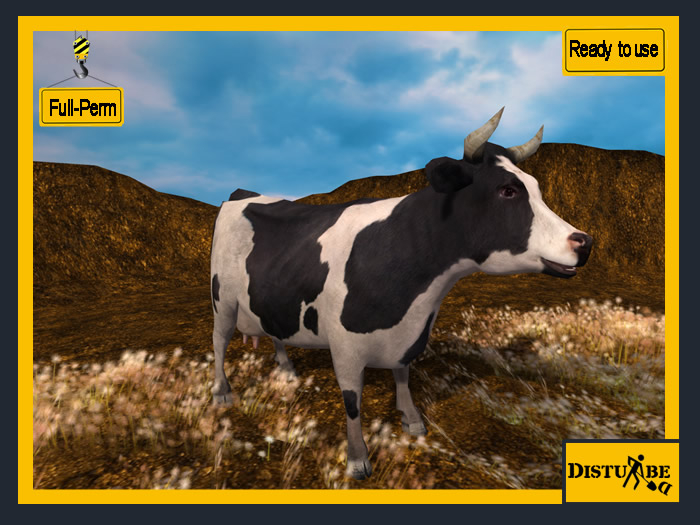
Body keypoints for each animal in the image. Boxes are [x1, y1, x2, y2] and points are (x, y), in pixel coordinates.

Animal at [209, 108, 593, 480]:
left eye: (536, 187)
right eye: (507, 191)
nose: (585, 241)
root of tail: (243, 193)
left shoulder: (409, 335)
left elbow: (403, 375)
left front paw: (412, 421)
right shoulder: (345, 345)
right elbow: (352, 402)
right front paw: (358, 460)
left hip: (270, 296)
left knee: (275, 328)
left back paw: (288, 372)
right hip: (222, 300)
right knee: (219, 341)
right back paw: (222, 393)